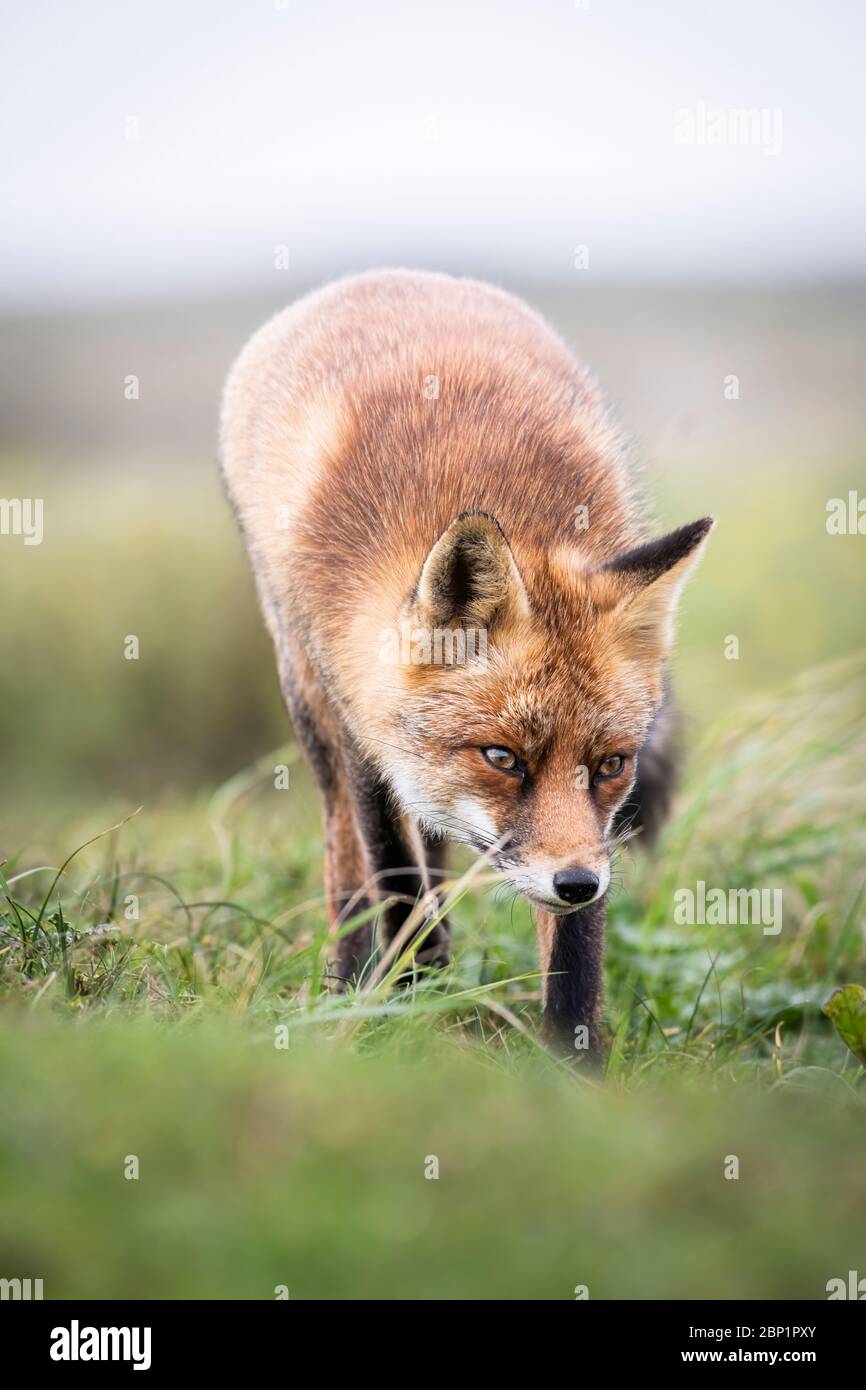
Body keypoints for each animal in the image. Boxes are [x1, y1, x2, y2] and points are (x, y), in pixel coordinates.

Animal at [219, 269, 712, 1061]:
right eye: (502, 757)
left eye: (611, 764)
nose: (577, 882)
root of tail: (387, 275)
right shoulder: (364, 727)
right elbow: (394, 874)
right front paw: (408, 1007)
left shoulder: (586, 836)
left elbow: (575, 950)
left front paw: (574, 1065)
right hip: (309, 696)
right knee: (352, 864)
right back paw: (354, 981)